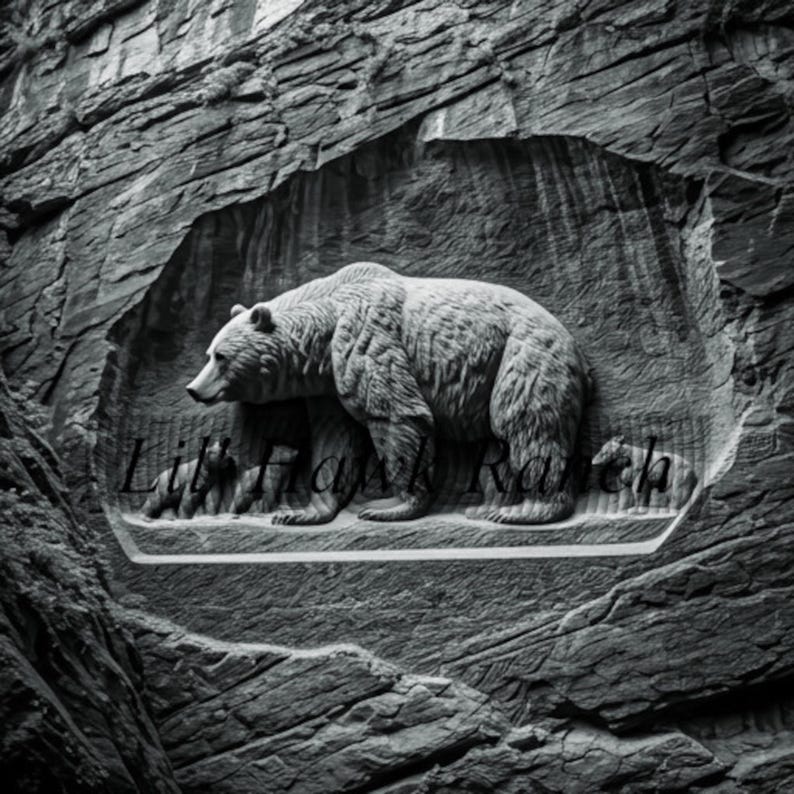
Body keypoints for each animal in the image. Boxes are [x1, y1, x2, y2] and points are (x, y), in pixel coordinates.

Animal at [186, 262, 591, 524]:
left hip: (524, 358)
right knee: (499, 443)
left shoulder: (365, 337)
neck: (323, 328)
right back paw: (487, 506)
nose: (193, 389)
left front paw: (388, 505)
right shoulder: (328, 385)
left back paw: (527, 510)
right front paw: (301, 512)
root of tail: (575, 346)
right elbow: (334, 440)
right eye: (208, 352)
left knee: (526, 426)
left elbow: (396, 414)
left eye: (221, 356)